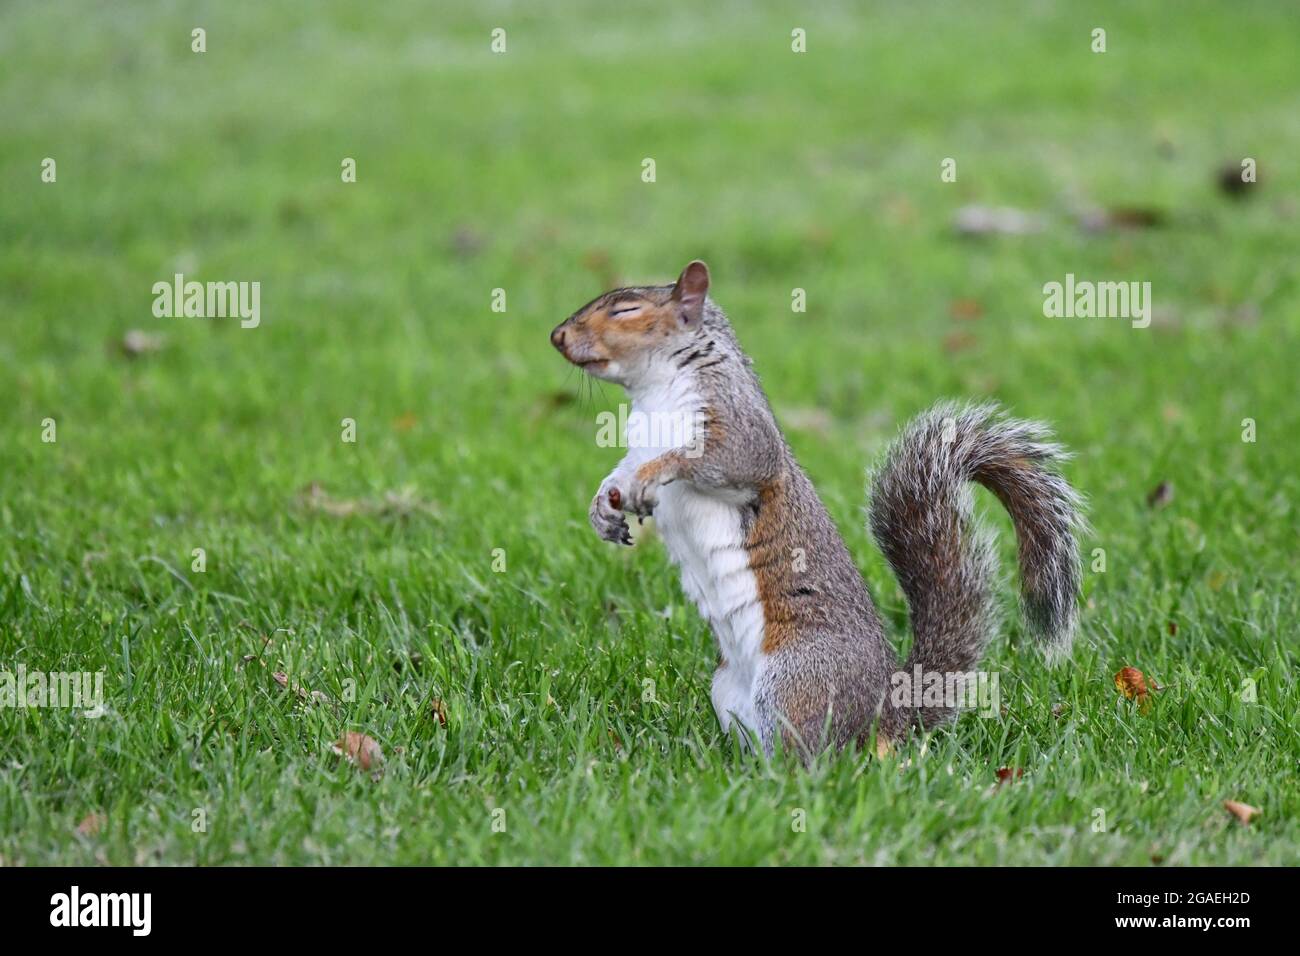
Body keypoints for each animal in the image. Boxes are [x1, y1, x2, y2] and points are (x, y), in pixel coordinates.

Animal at [551, 260, 1084, 758]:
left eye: (626, 309)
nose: (557, 336)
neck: (655, 390)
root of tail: (883, 719)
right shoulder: (639, 441)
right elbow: (623, 469)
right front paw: (605, 504)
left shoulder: (736, 423)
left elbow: (723, 459)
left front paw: (651, 477)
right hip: (729, 690)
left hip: (796, 682)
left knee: (808, 758)